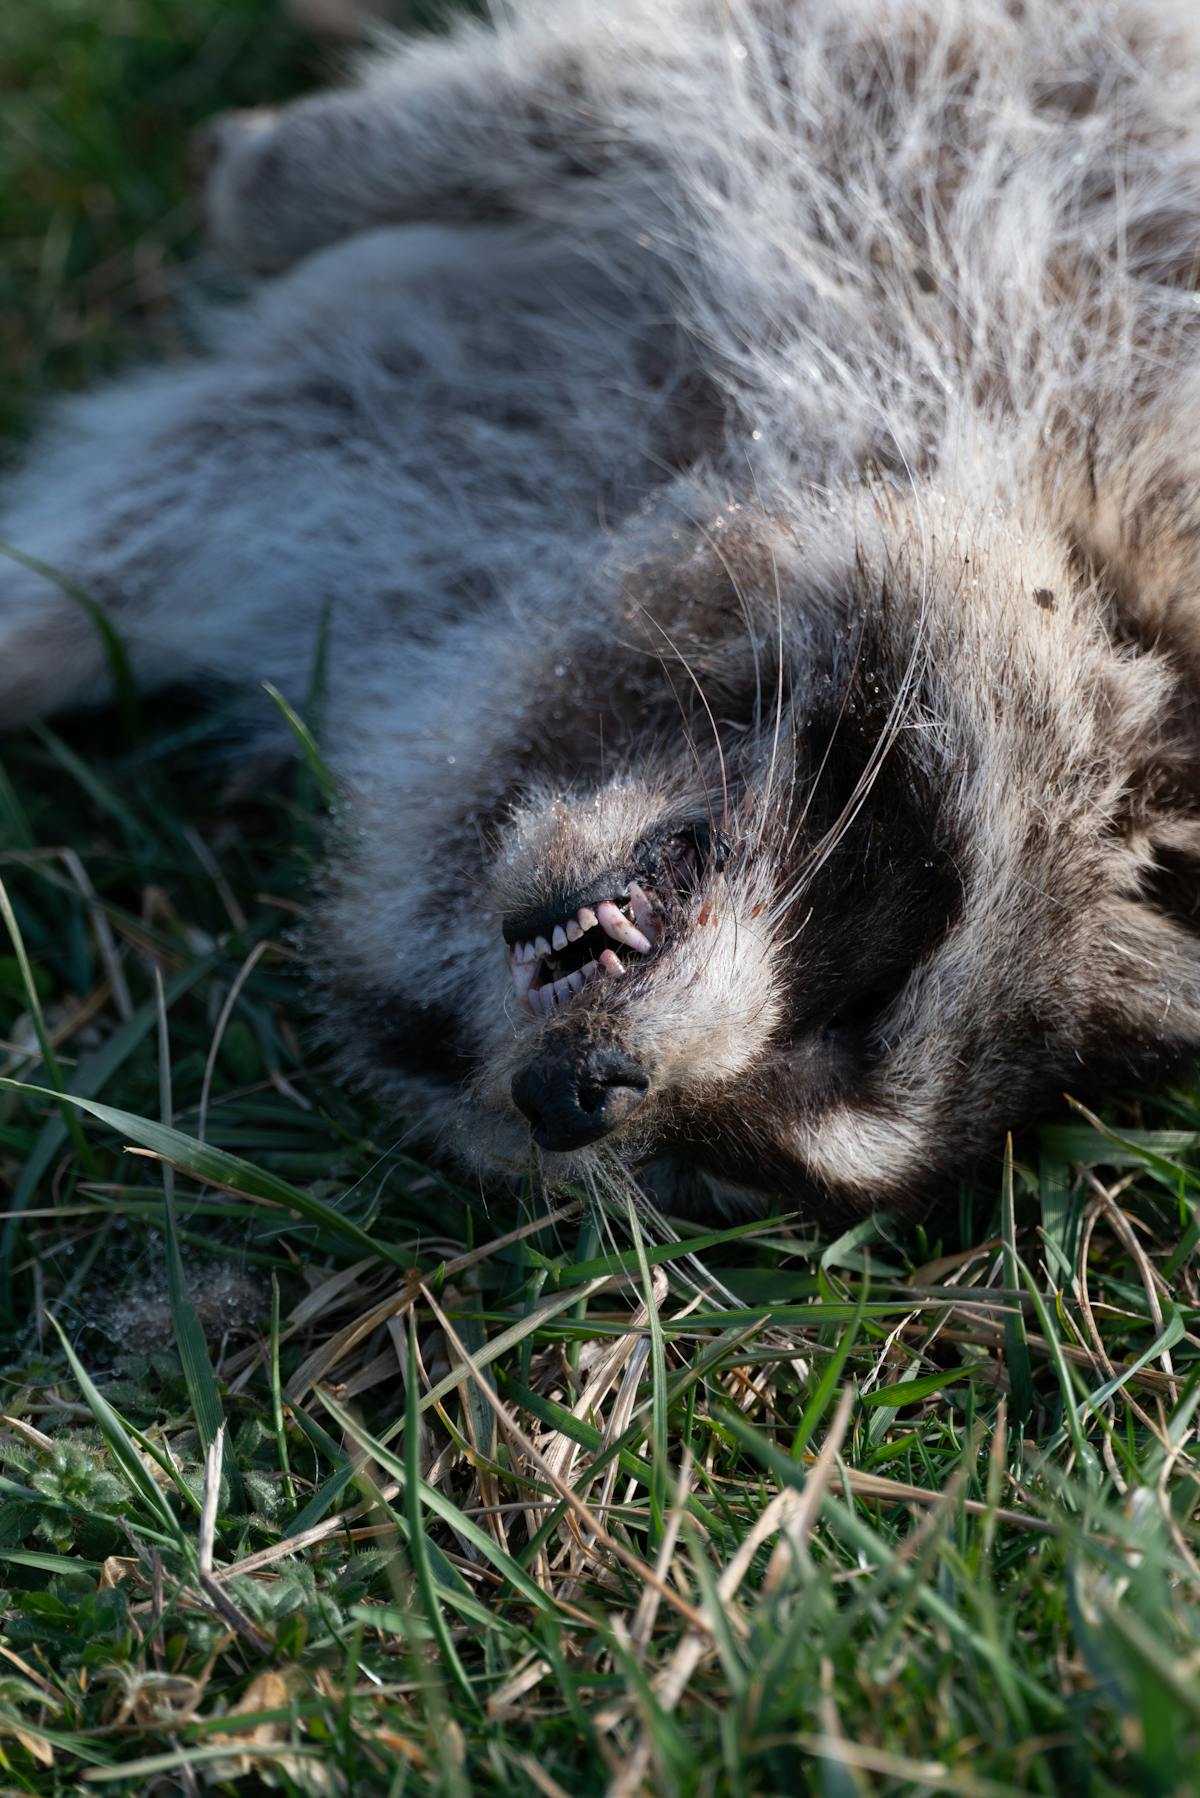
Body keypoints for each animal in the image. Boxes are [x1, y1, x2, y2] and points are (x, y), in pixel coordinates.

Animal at [4, 0, 1200, 1223]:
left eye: (713, 1166)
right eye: (879, 954)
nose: (581, 1094)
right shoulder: (938, 184)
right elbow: (590, 98)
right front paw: (273, 177)